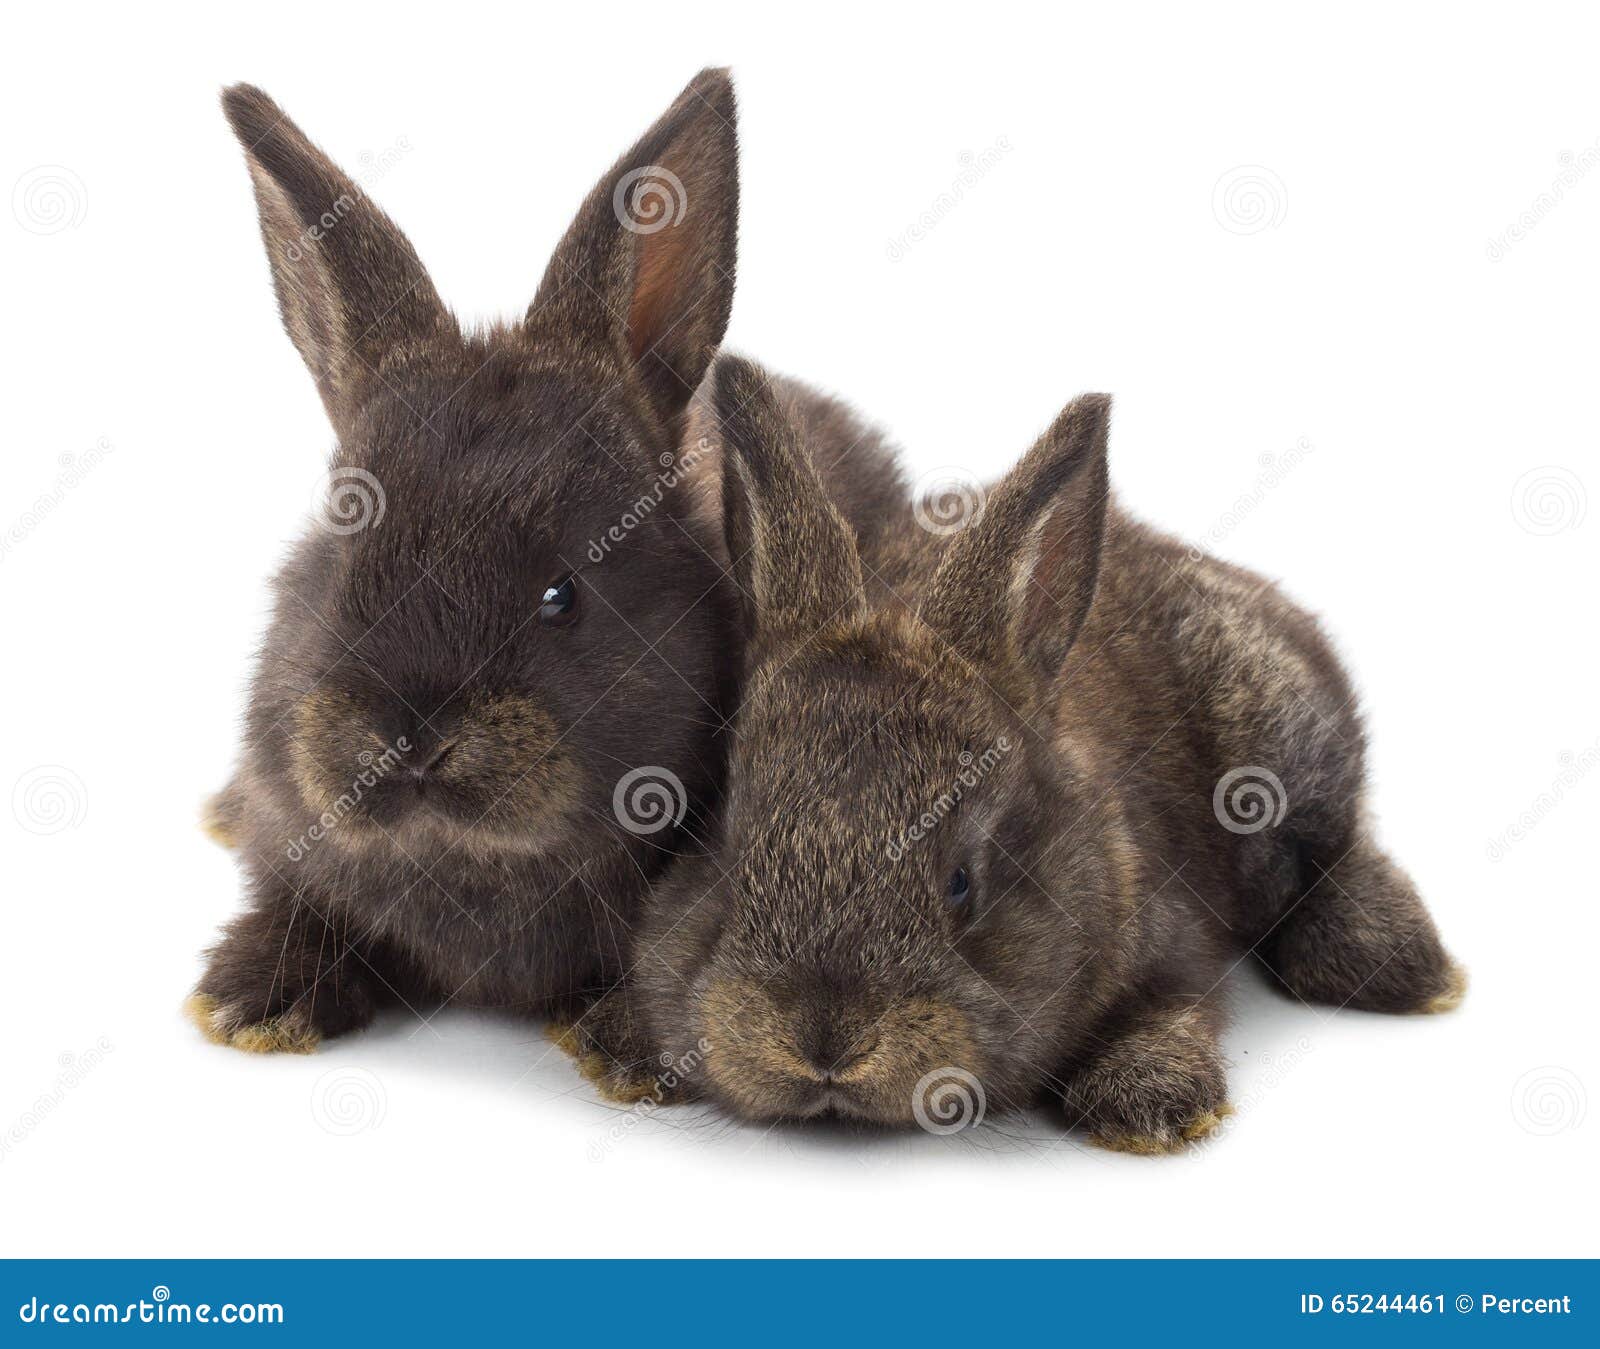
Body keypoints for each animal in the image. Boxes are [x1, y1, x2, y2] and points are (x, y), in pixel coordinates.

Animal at [560, 357, 1465, 1152]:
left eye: (963, 882)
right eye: (726, 852)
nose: (825, 1041)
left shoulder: (1174, 942)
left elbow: (1174, 1005)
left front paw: (1150, 1105)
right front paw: (618, 1043)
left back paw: (1400, 962)